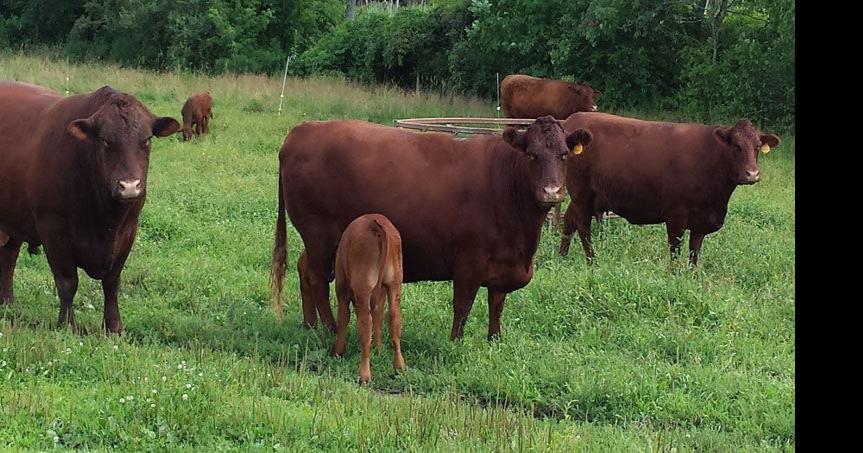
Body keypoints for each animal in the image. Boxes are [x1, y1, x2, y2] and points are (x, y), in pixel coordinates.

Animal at [0, 81, 180, 332]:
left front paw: (114, 326)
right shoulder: (53, 229)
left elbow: (112, 282)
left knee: (8, 256)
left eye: (146, 140)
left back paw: (8, 303)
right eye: (104, 140)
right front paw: (67, 324)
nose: (129, 186)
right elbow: (67, 282)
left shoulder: (128, 231)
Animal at [270, 116, 593, 341]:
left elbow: (497, 305)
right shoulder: (469, 262)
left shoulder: (503, 265)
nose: (551, 192)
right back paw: (330, 328)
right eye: (531, 155)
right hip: (319, 235)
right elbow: (462, 306)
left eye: (564, 154)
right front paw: (456, 342)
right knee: (316, 277)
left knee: (304, 268)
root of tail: (300, 131)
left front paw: (495, 341)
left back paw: (309, 325)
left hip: (324, 241)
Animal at [328, 213, 405, 384]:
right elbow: (378, 317)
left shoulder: (341, 290)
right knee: (394, 319)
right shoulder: (380, 296)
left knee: (365, 326)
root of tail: (376, 221)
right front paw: (378, 349)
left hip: (362, 291)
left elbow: (343, 318)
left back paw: (364, 375)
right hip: (394, 284)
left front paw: (337, 352)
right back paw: (399, 367)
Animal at [558, 112, 780, 266]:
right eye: (736, 146)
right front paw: (673, 275)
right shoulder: (676, 214)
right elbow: (675, 248)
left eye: (757, 147)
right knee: (583, 227)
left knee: (569, 220)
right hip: (581, 193)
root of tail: (573, 119)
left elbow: (694, 252)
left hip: (583, 197)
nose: (752, 174)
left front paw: (692, 277)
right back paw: (592, 261)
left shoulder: (701, 221)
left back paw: (562, 257)